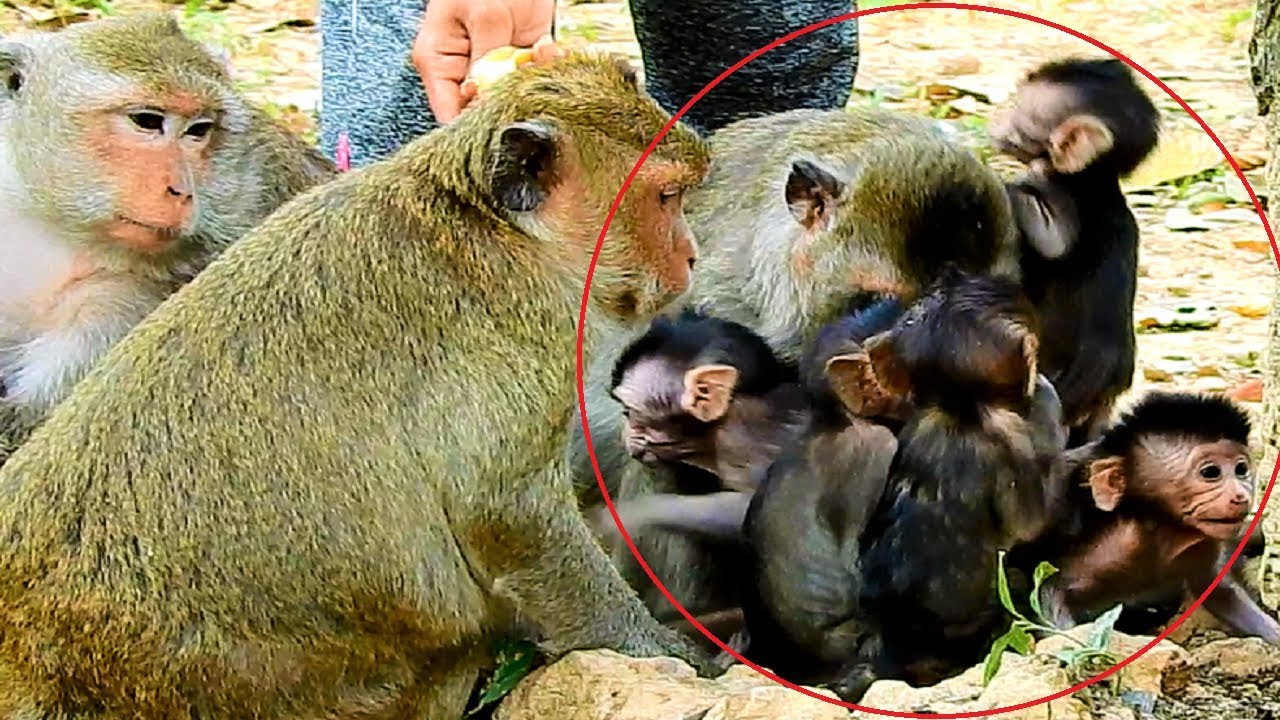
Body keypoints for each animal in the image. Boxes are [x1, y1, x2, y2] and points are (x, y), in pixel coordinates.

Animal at [1015, 392, 1280, 646]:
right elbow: (1050, 593)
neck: (1158, 530)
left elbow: (1220, 590)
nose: (1240, 495)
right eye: (1210, 472)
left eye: (1241, 469)